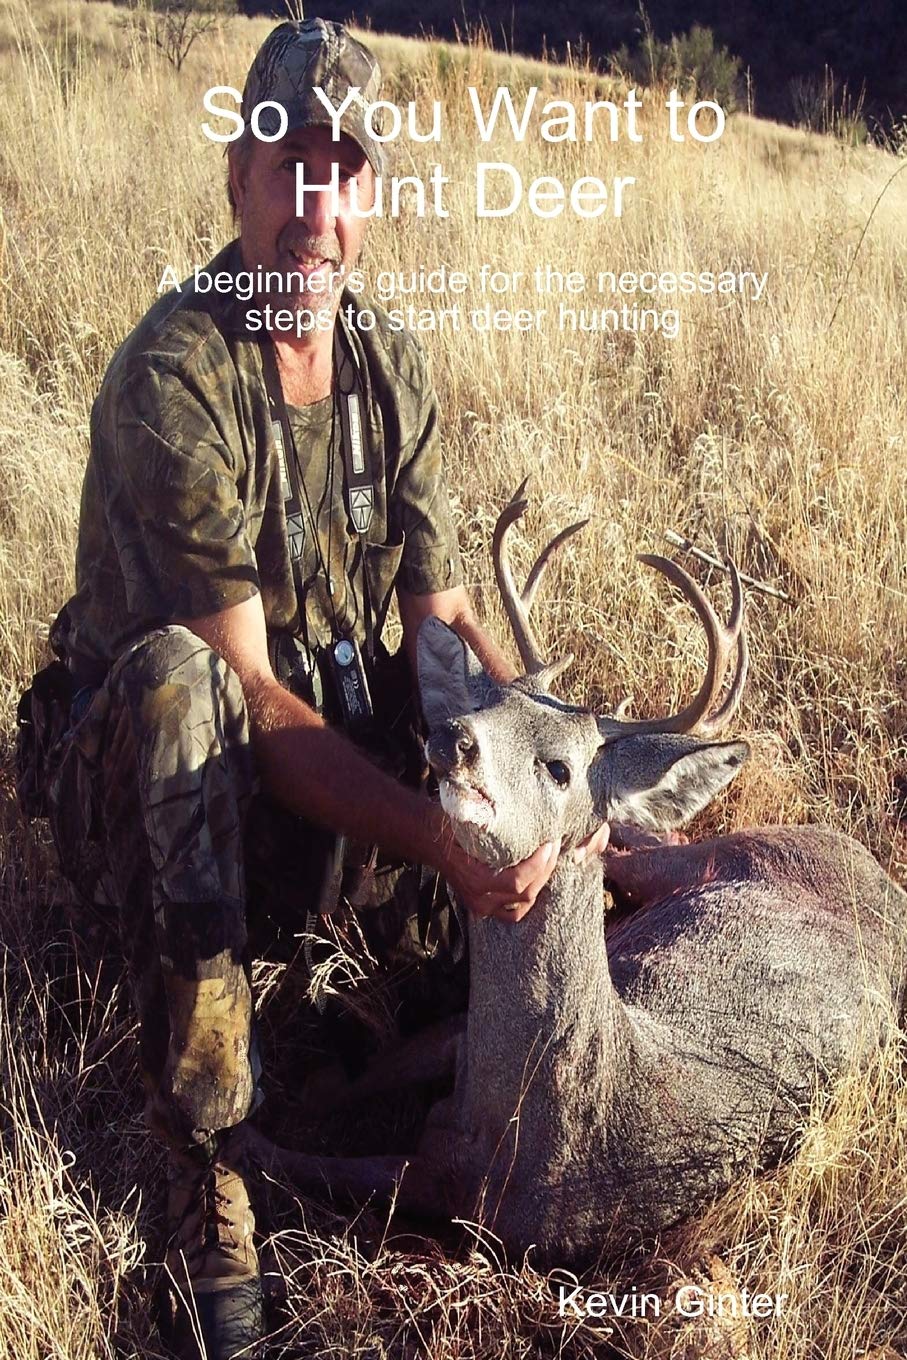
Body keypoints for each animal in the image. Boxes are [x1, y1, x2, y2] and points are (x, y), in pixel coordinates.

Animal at [243, 481, 907, 1263]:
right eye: (486, 703)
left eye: (559, 768)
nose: (454, 738)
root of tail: (881, 878)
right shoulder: (454, 1042)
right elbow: (364, 1076)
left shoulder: (464, 1200)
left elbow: (288, 1162)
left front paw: (232, 1130)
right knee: (639, 836)